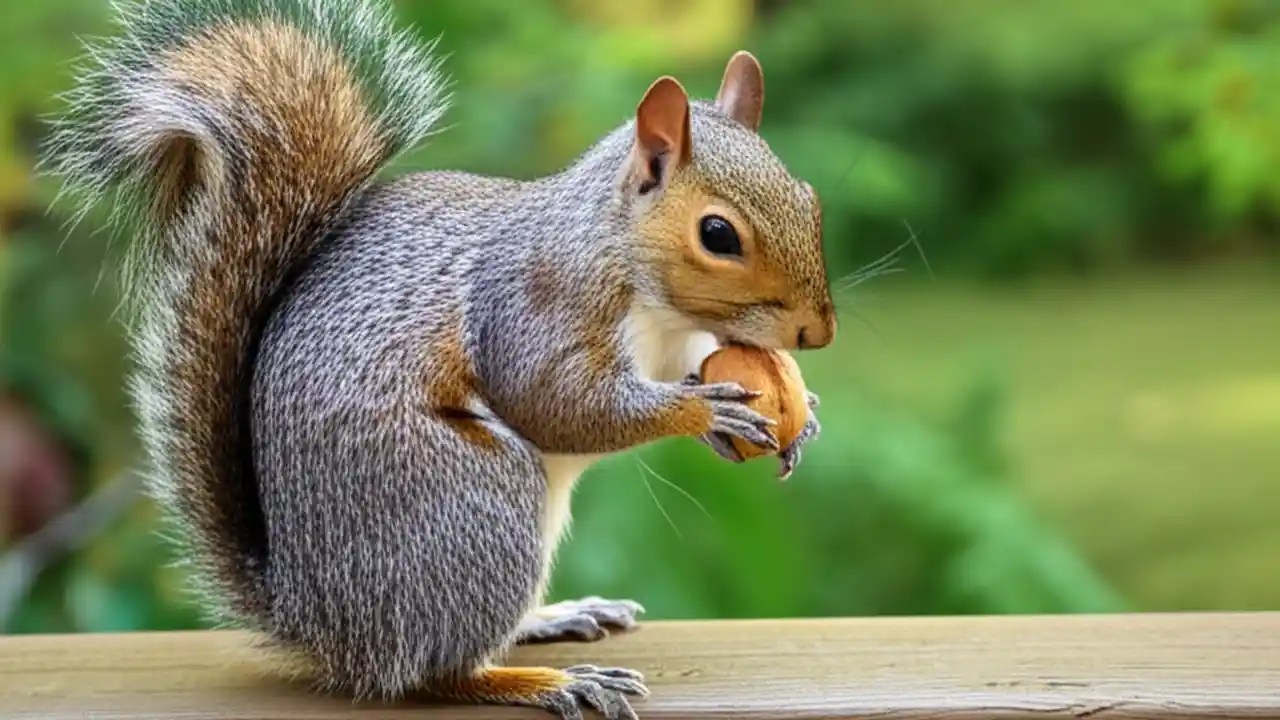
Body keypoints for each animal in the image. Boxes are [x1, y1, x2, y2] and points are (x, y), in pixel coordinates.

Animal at [47, 0, 836, 718]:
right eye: (717, 234)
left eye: (810, 198)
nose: (817, 334)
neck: (648, 292)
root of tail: (319, 625)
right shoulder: (533, 306)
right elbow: (560, 405)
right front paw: (703, 411)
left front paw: (799, 417)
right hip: (473, 501)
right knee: (433, 673)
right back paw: (545, 682)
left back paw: (552, 618)